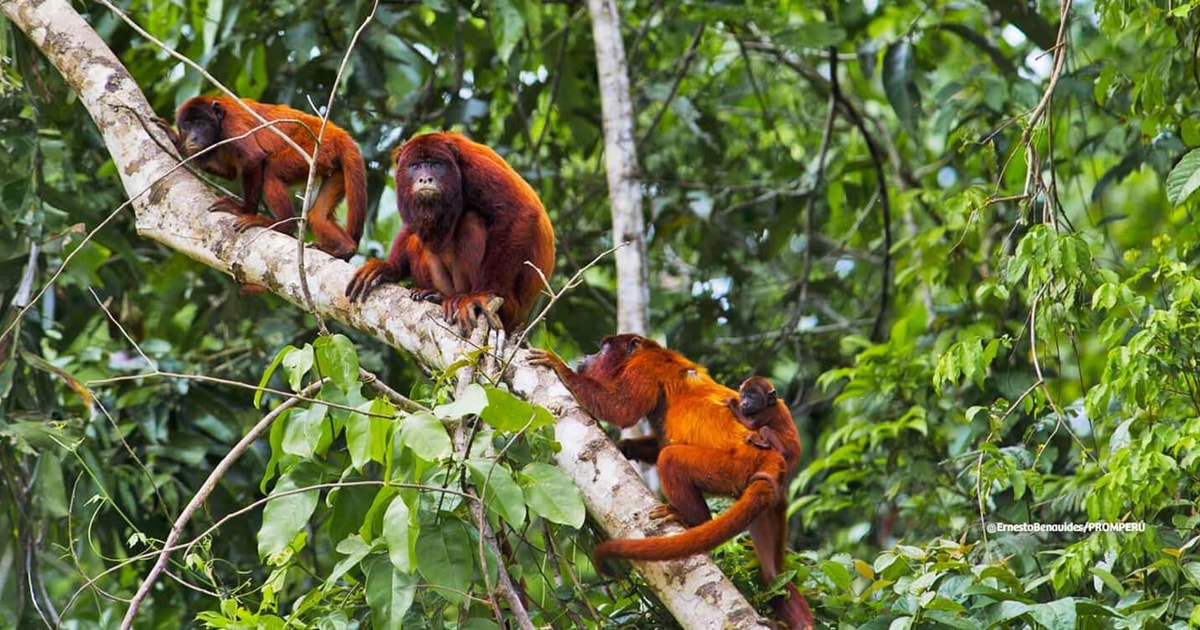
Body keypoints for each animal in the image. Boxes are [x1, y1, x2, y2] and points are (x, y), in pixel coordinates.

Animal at [174, 96, 366, 261]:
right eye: (186, 127)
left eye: (200, 124)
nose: (192, 137)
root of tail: (337, 133)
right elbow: (230, 172)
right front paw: (177, 142)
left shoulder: (232, 124)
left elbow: (253, 158)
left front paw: (243, 210)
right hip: (333, 166)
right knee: (318, 216)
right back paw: (344, 249)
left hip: (314, 149)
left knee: (271, 171)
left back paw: (283, 226)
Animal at [345, 132, 555, 333]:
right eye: (416, 166)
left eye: (435, 165)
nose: (425, 179)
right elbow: (411, 228)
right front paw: (389, 267)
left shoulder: (473, 168)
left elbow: (520, 211)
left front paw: (482, 294)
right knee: (417, 239)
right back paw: (434, 294)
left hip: (510, 306)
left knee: (470, 220)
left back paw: (464, 297)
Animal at [529, 336, 813, 629]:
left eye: (603, 348)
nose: (587, 356)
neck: (647, 350)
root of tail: (770, 456)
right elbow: (657, 439)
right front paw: (625, 447)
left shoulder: (644, 368)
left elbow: (623, 410)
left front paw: (559, 366)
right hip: (771, 500)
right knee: (773, 575)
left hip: (732, 467)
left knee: (671, 459)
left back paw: (691, 518)